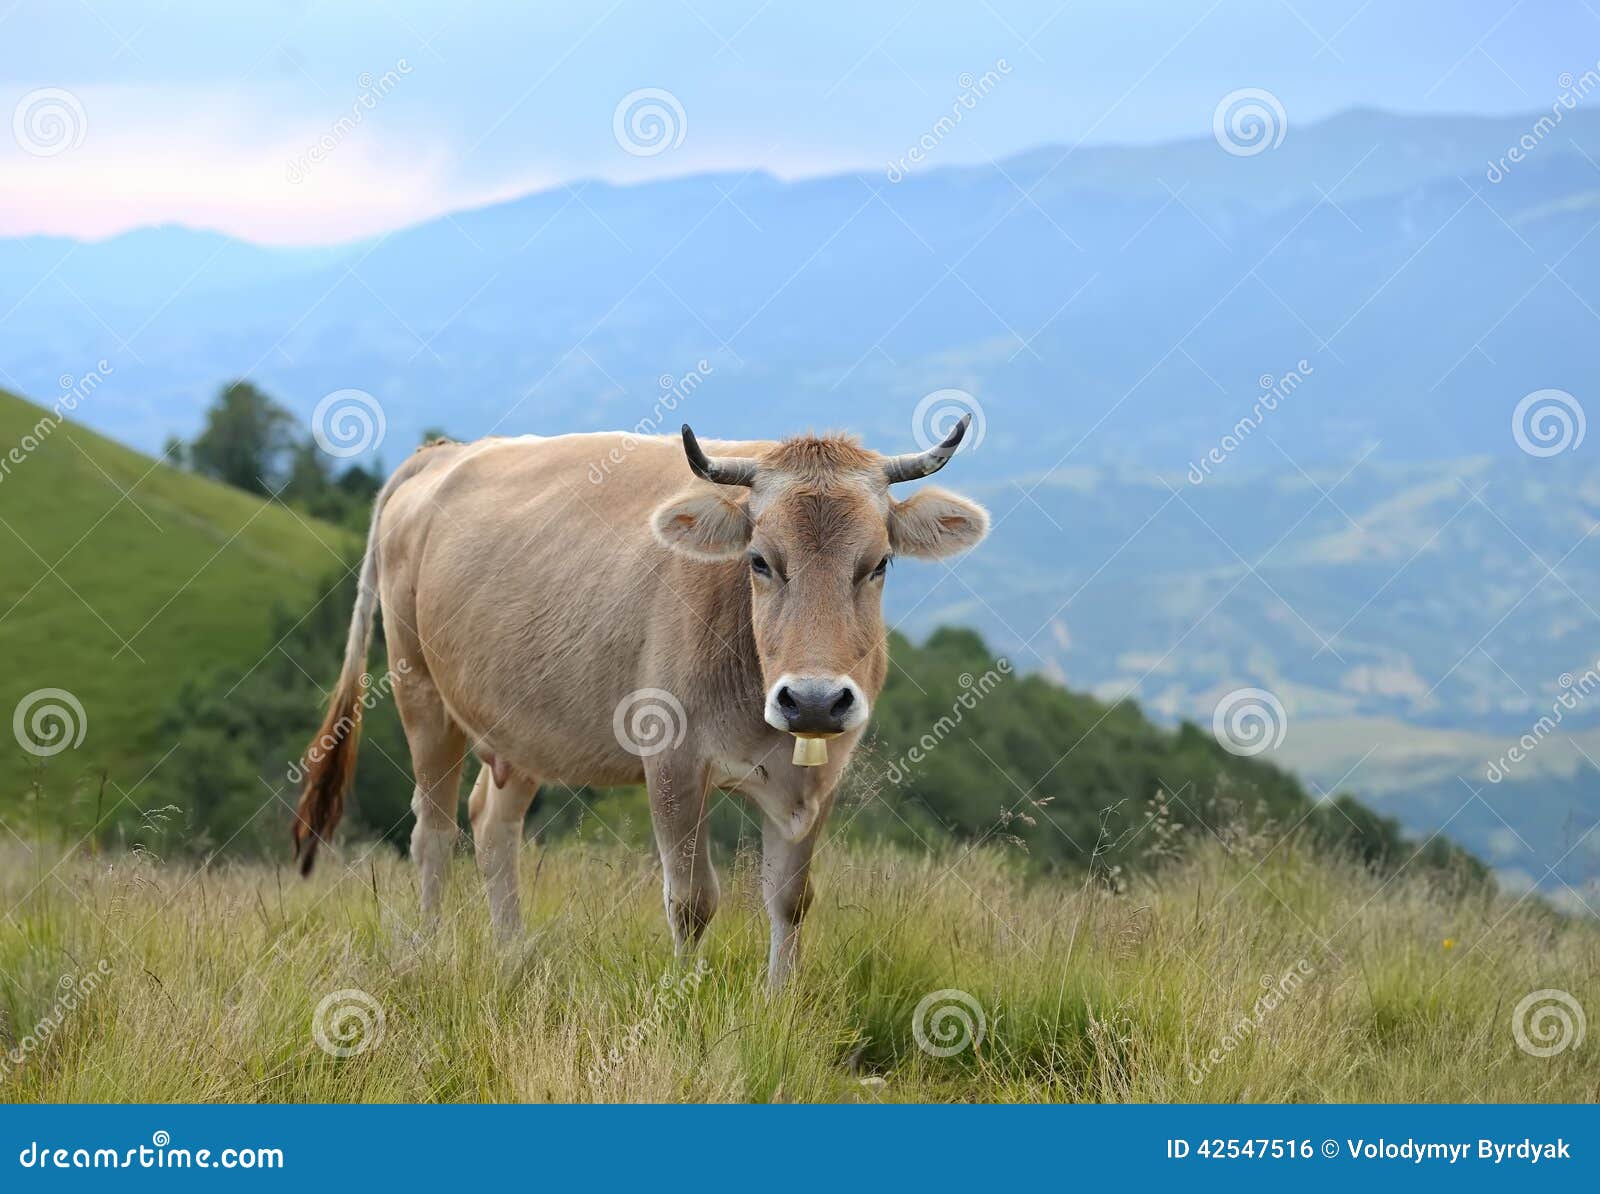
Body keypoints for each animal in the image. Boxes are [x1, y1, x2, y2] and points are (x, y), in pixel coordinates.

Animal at [290, 417, 987, 987]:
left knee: (491, 822)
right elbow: (692, 900)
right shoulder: (673, 761)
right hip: (420, 690)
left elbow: (790, 899)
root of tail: (445, 453)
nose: (813, 699)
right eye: (760, 561)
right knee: (433, 831)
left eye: (880, 564)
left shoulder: (817, 775)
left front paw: (778, 1007)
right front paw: (683, 1001)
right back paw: (431, 954)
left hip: (523, 727)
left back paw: (513, 957)